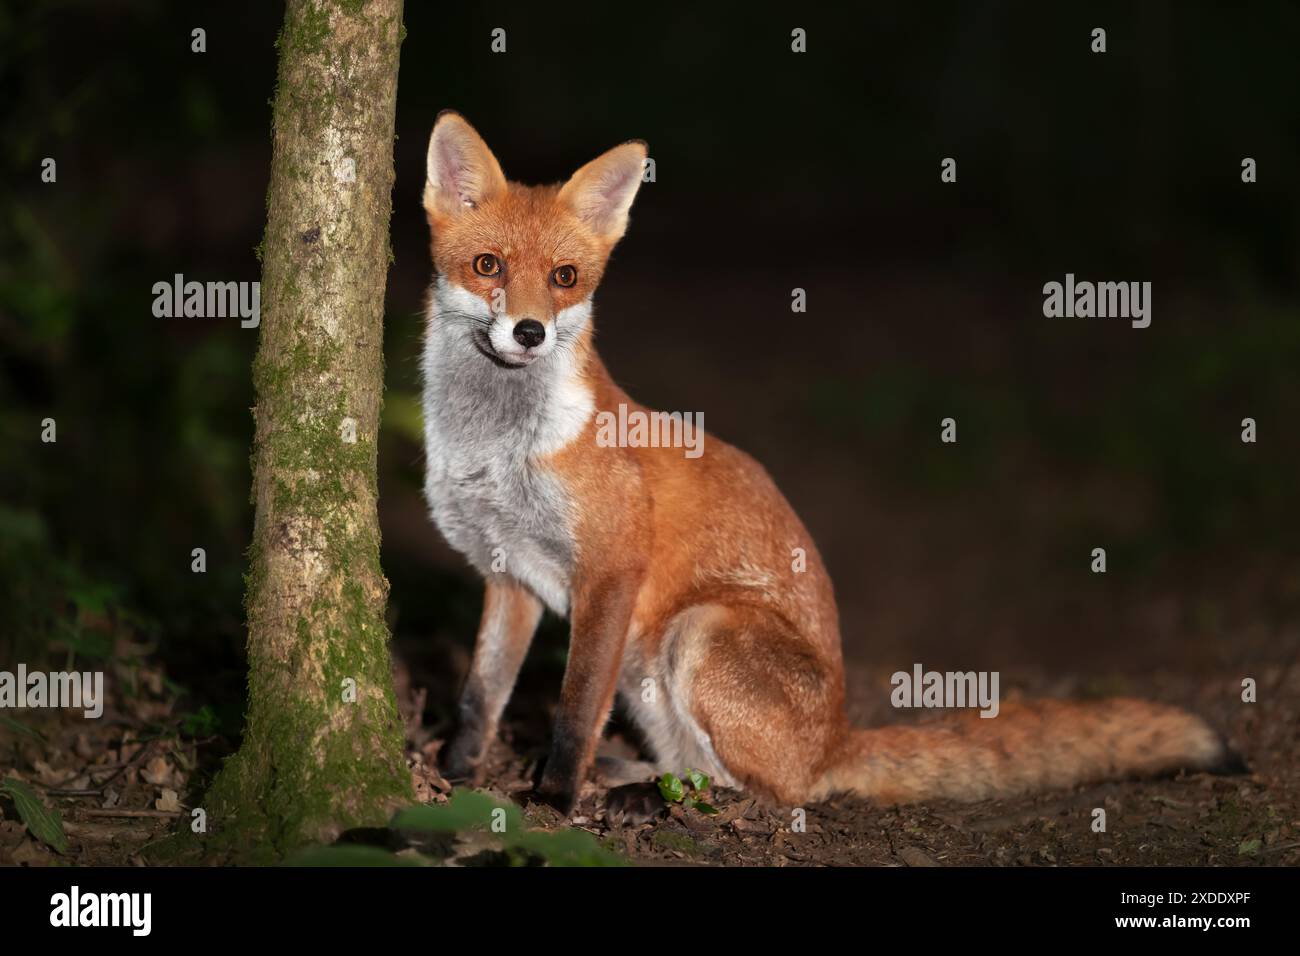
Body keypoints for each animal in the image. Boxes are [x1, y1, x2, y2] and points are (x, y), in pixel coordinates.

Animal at [419, 111, 1242, 815]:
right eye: (488, 265)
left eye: (564, 277)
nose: (529, 332)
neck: (496, 444)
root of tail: (838, 739)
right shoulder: (509, 572)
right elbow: (480, 694)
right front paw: (453, 772)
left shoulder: (612, 569)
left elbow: (574, 708)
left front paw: (554, 799)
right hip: (650, 675)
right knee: (708, 767)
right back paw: (637, 777)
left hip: (698, 630)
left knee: (776, 792)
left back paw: (644, 795)